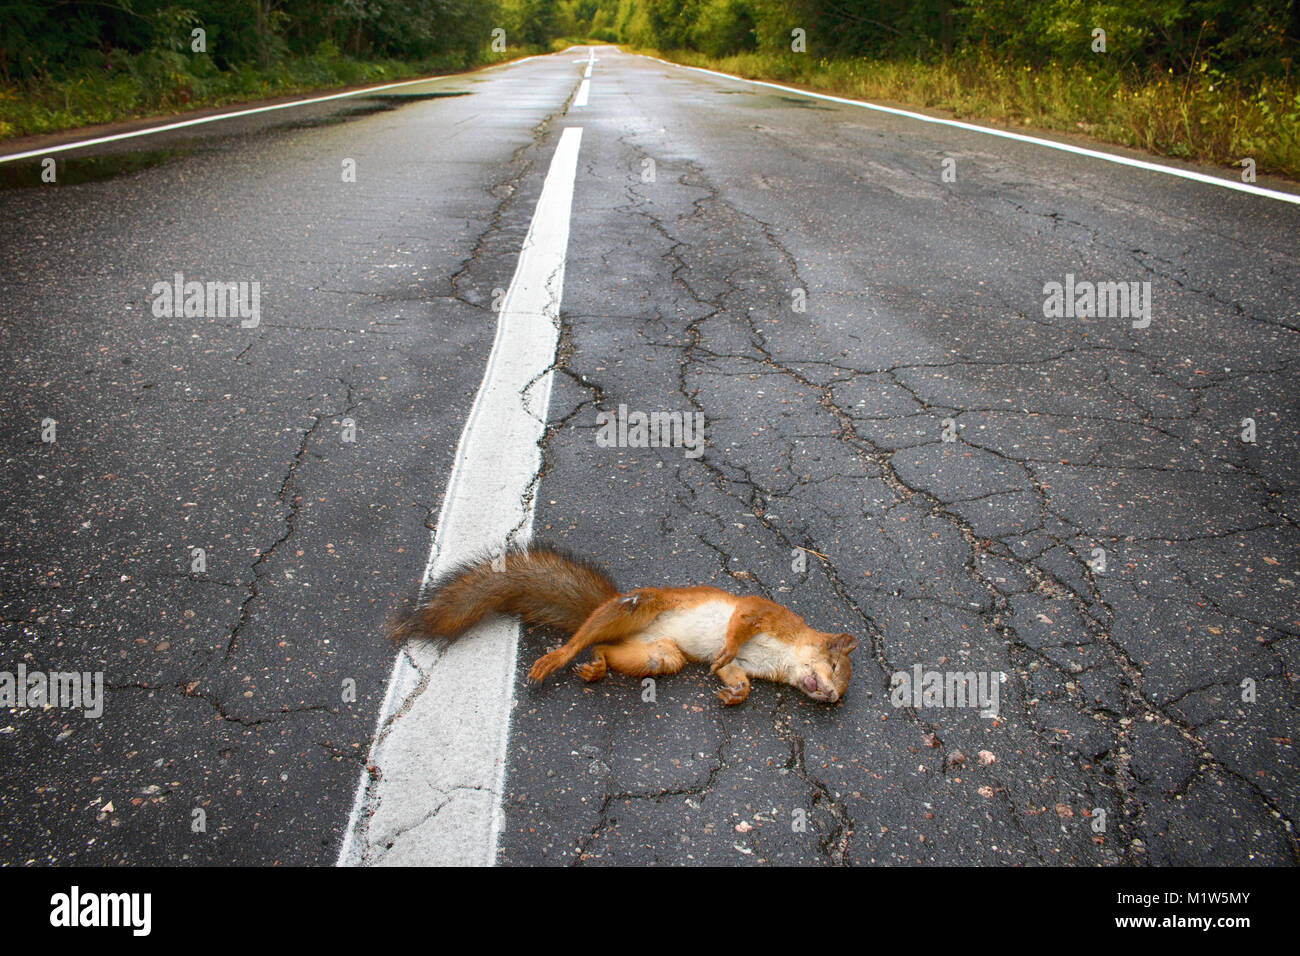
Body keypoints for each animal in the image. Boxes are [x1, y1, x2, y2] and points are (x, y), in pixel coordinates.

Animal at [389, 542, 857, 705]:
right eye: (835, 666)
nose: (833, 697)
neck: (786, 656)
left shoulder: (749, 665)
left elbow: (733, 674)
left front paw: (734, 693)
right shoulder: (763, 613)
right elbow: (739, 626)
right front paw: (725, 647)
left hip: (660, 653)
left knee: (609, 651)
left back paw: (596, 667)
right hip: (636, 607)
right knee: (579, 641)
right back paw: (559, 657)